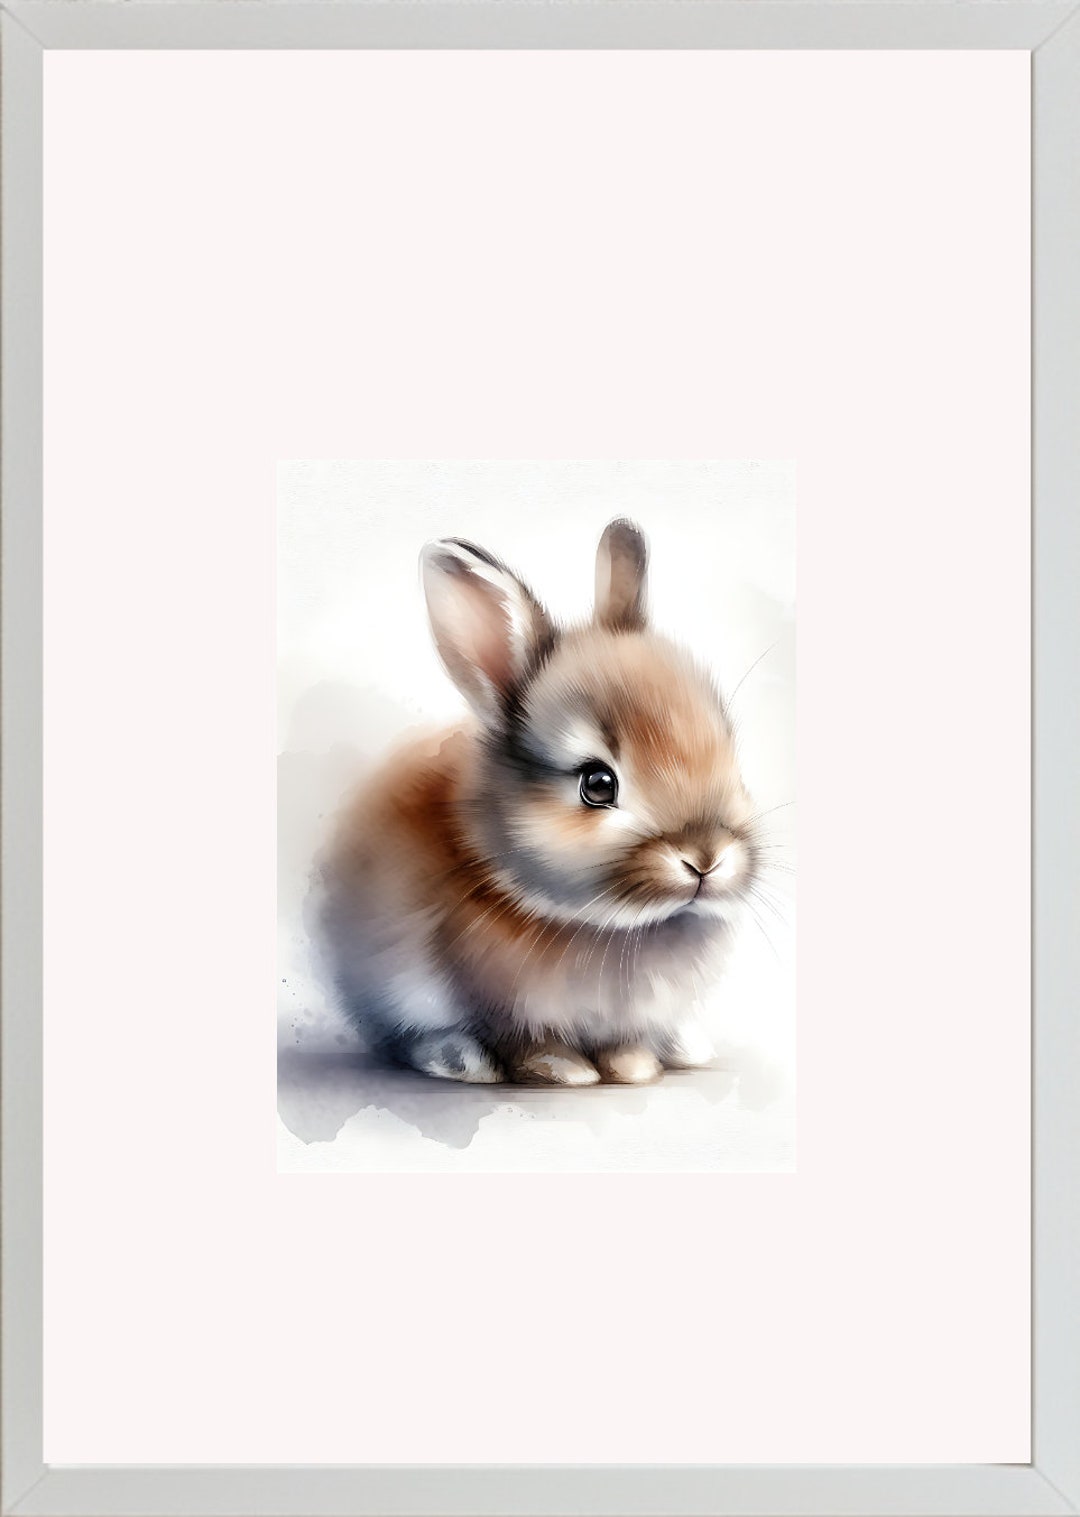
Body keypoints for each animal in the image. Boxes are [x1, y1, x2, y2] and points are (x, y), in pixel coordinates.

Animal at [316, 519, 764, 1086]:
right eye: (598, 784)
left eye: (726, 748)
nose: (706, 856)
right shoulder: (497, 1006)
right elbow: (527, 1043)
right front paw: (566, 1070)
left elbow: (626, 1040)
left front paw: (634, 1065)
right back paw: (460, 1060)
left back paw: (687, 1047)